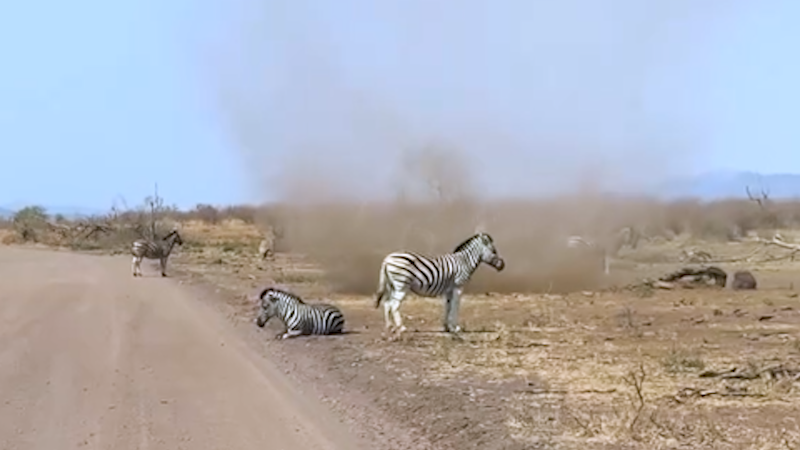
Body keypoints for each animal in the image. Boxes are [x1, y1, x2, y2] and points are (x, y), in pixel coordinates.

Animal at [374, 232, 505, 335]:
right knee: (394, 305)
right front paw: (455, 328)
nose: (502, 265)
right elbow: (455, 306)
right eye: (494, 251)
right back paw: (401, 327)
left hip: (392, 286)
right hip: (401, 285)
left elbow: (448, 306)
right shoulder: (458, 286)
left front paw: (447, 327)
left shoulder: (449, 290)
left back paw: (390, 327)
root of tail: (387, 259)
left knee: (387, 304)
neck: (464, 262)